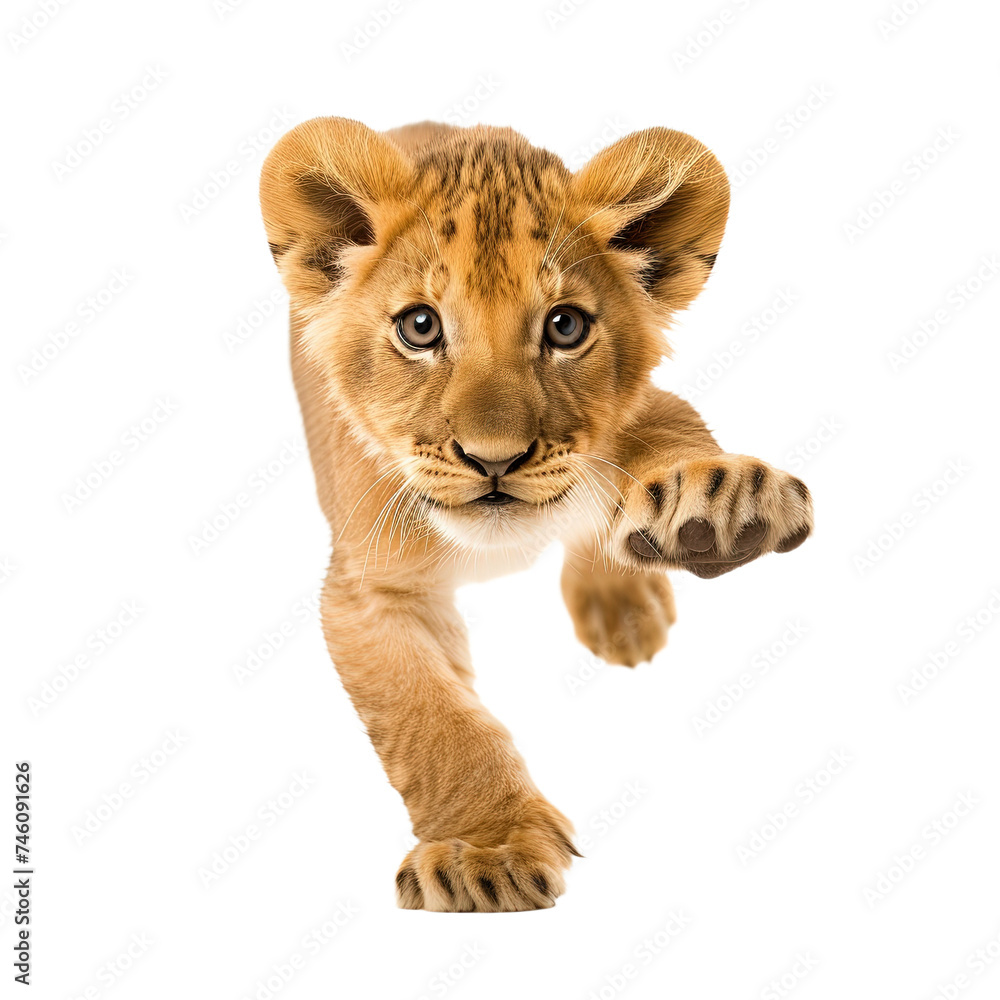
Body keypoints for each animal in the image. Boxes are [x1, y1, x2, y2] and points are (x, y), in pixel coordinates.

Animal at [258, 118, 813, 912]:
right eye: (420, 326)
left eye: (566, 326)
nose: (495, 458)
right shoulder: (368, 592)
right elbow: (433, 722)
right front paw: (485, 853)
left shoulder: (634, 414)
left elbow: (674, 434)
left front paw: (718, 502)